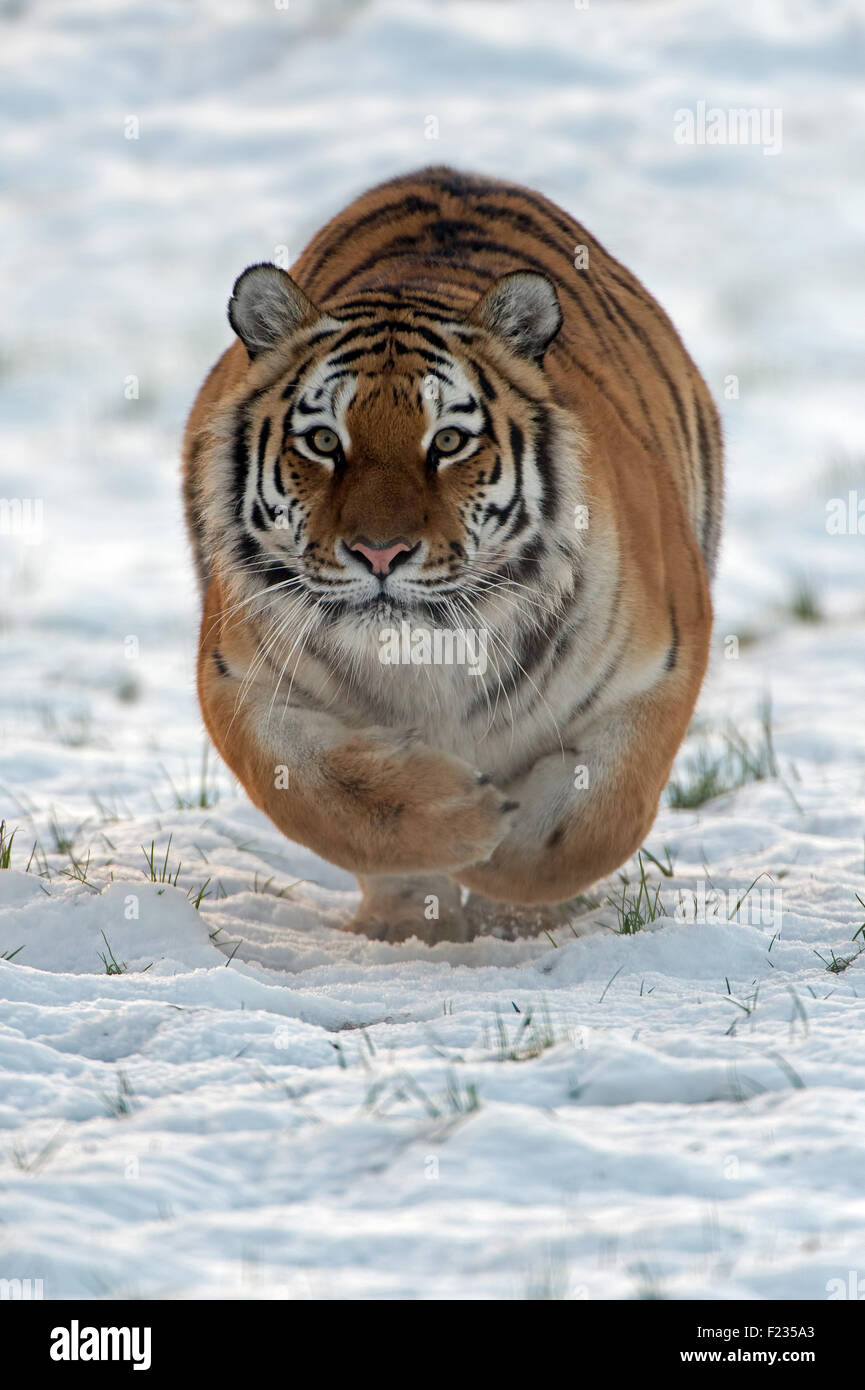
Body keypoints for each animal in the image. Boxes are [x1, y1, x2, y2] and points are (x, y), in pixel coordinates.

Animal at [182, 166, 722, 943]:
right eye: (324, 441)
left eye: (447, 442)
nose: (379, 552)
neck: (424, 654)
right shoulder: (240, 680)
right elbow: (326, 798)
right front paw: (470, 823)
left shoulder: (656, 671)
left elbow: (590, 824)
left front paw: (505, 856)